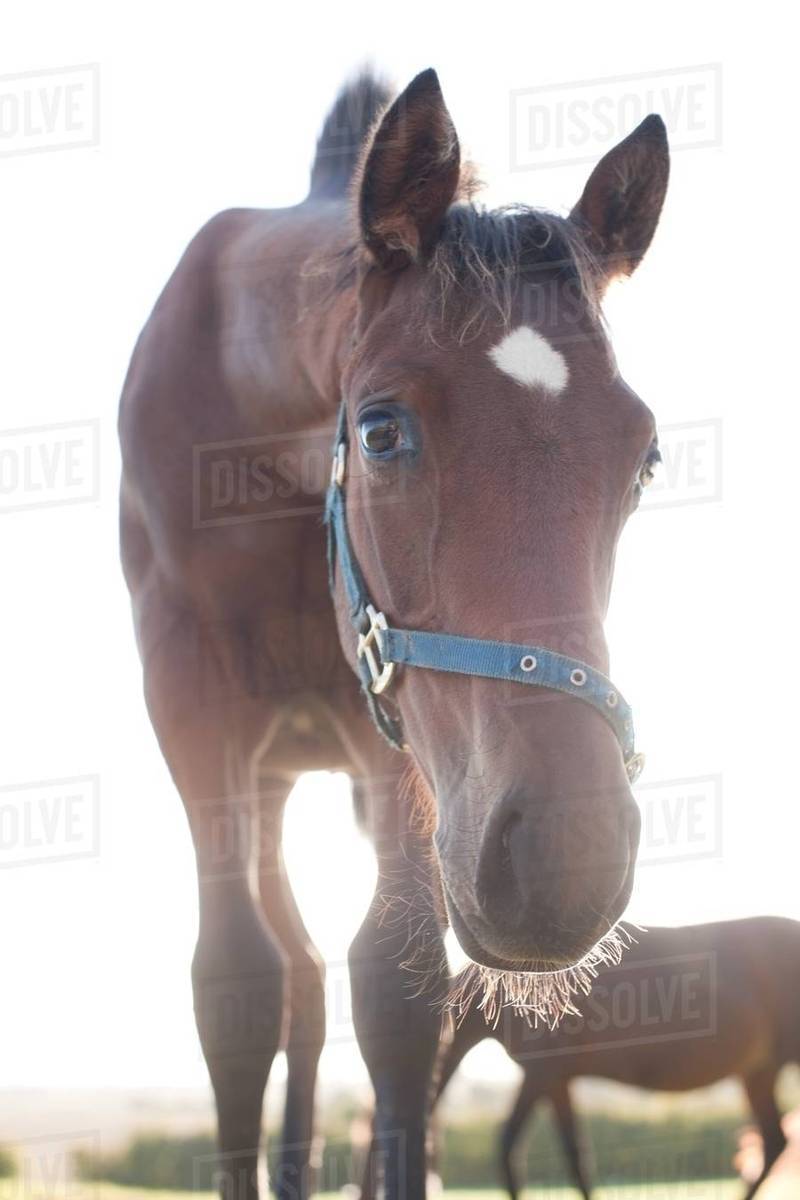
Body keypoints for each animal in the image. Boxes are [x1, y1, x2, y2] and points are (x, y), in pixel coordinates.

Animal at [118, 66, 670, 1200]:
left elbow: (395, 990)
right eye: (378, 431)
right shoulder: (193, 711)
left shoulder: (396, 735)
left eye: (643, 457)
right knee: (291, 973)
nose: (566, 854)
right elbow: (235, 983)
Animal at [435, 917, 800, 1200]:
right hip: (758, 1073)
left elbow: (512, 1145)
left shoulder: (541, 1073)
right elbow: (574, 1154)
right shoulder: (556, 1080)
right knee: (774, 1141)